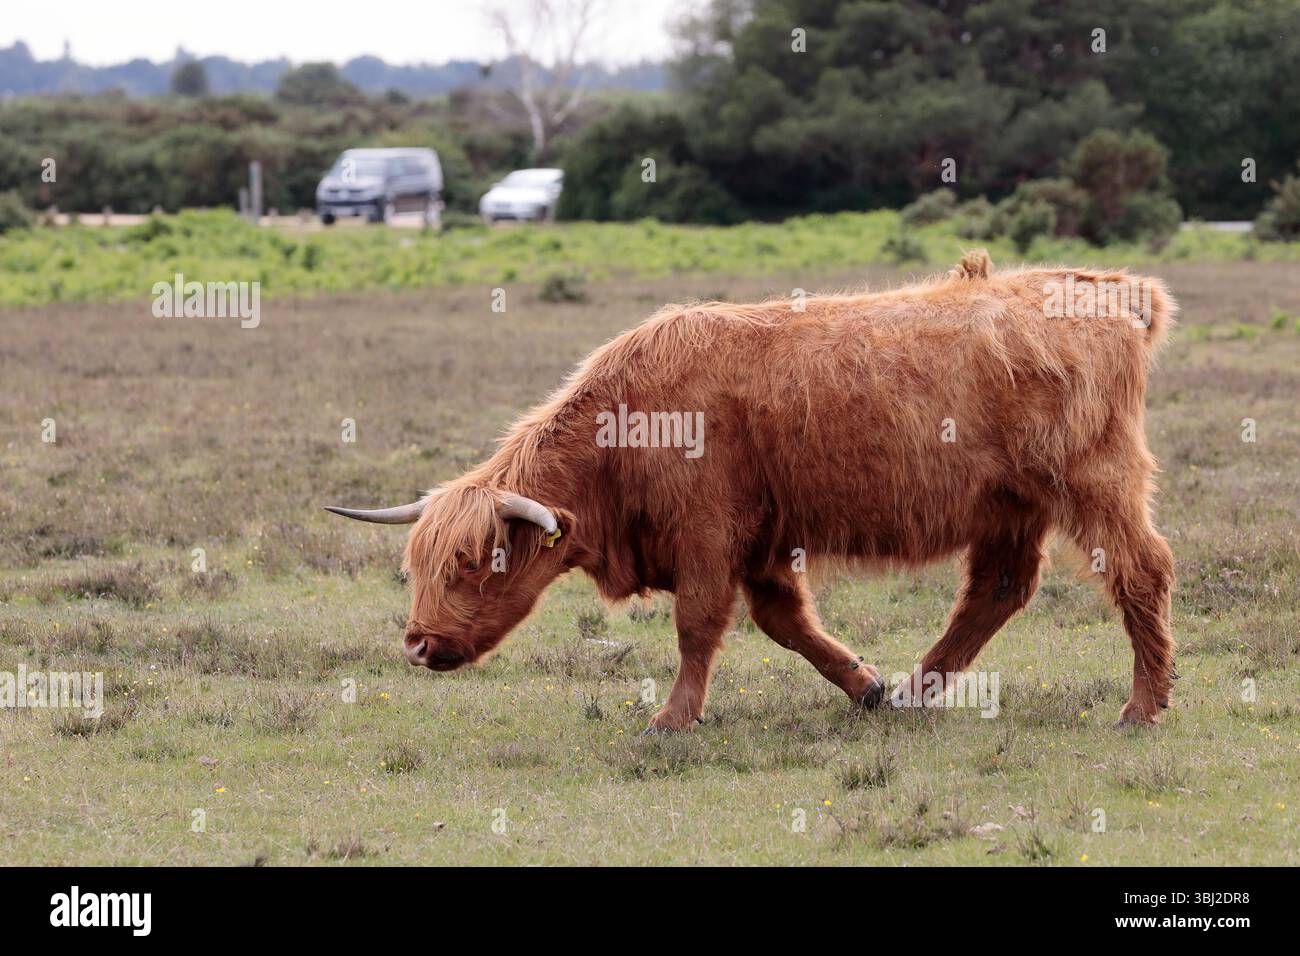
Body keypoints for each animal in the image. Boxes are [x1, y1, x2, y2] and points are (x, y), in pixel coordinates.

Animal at [328, 251, 1177, 731]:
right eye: (416, 567)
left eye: (475, 563)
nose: (417, 643)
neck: (625, 427)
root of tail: (1113, 289)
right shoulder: (765, 543)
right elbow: (785, 623)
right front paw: (865, 687)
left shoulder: (709, 534)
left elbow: (698, 626)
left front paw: (672, 720)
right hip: (1010, 505)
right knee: (995, 592)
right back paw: (912, 692)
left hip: (1095, 482)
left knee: (1142, 570)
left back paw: (1143, 706)